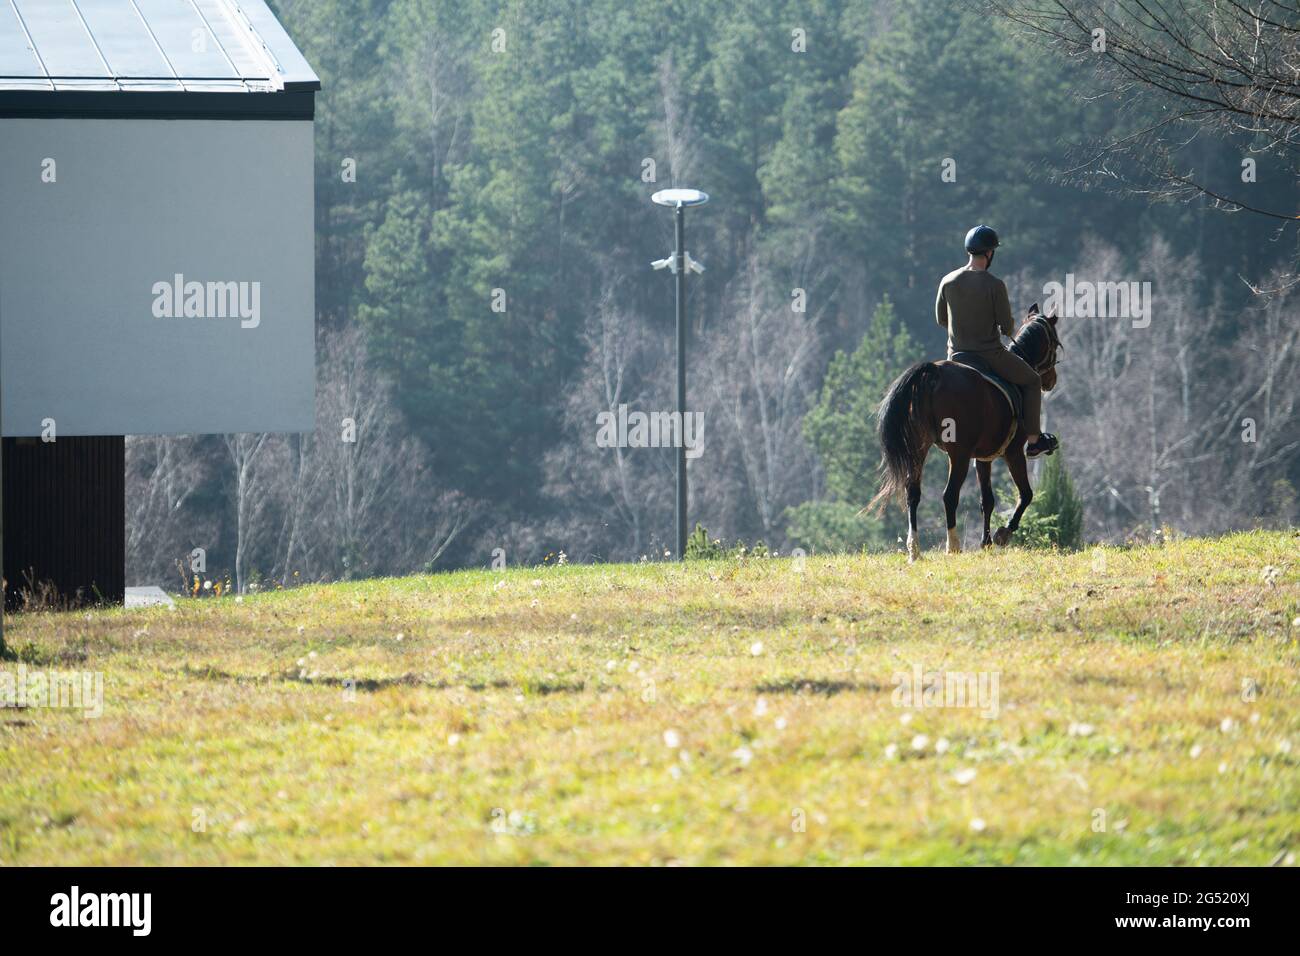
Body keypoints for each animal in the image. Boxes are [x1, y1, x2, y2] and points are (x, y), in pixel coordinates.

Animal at [867, 304, 1062, 561]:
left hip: (920, 449)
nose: (1051, 381)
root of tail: (934, 371)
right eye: (1056, 342)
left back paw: (915, 550)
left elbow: (987, 500)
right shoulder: (1013, 453)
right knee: (949, 495)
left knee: (913, 493)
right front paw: (1003, 533)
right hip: (958, 455)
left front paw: (986, 542)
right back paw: (953, 545)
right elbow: (1026, 494)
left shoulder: (983, 458)